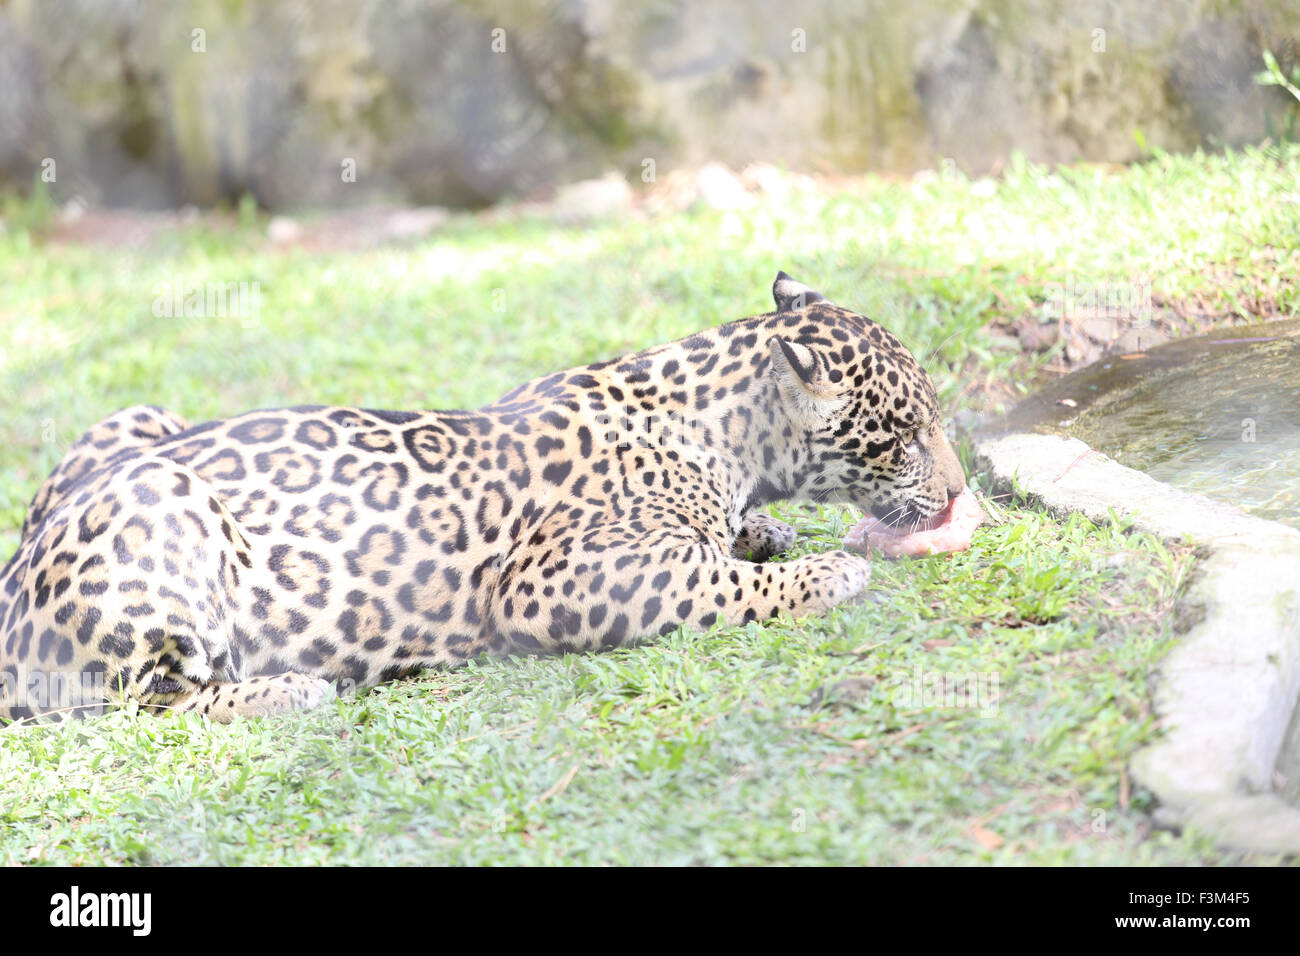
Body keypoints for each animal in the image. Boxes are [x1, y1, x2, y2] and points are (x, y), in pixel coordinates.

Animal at [0, 272, 965, 724]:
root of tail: (13, 588)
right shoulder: (554, 580)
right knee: (145, 698)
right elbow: (713, 579)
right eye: (909, 433)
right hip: (161, 509)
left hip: (139, 420)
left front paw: (766, 530)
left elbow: (734, 542)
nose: (959, 492)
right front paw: (824, 573)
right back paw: (288, 690)